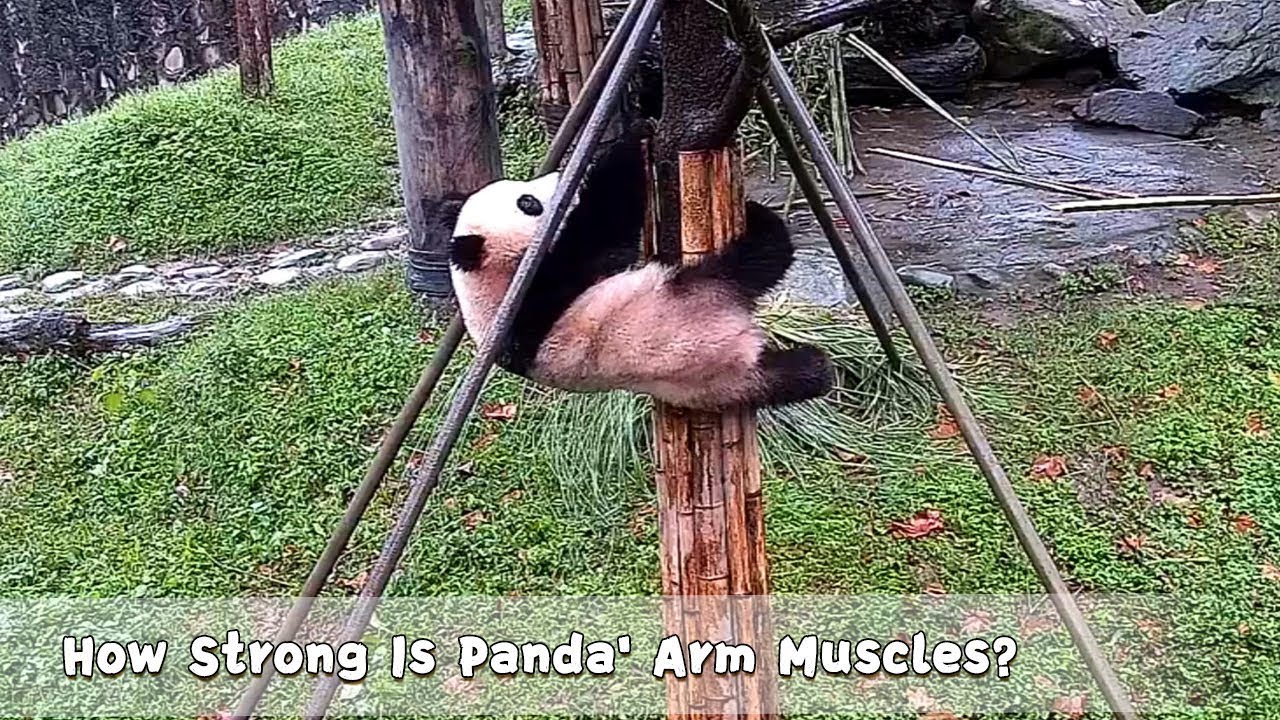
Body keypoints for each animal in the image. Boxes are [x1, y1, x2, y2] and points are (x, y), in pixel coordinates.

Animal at [447, 131, 834, 411]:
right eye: (527, 202)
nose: (559, 177)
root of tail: (742, 346)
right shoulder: (536, 293)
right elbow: (602, 229)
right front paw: (630, 138)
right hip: (697, 292)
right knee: (764, 254)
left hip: (718, 387)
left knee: (790, 377)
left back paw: (815, 368)